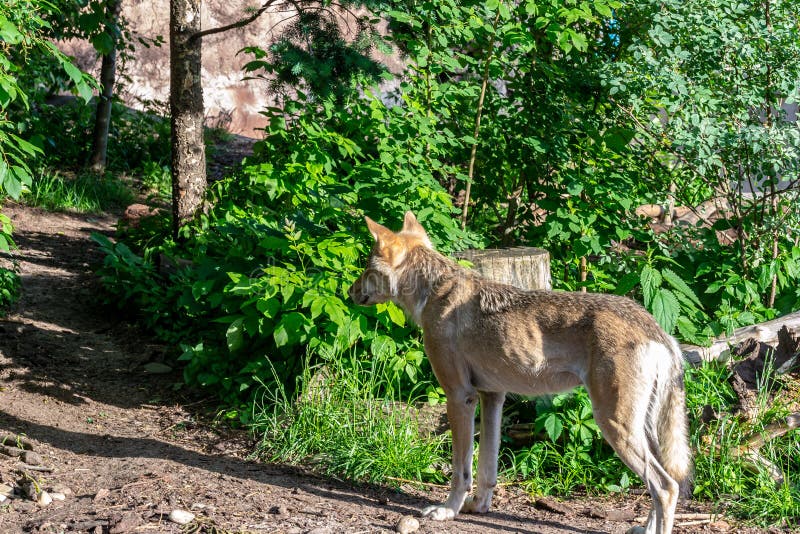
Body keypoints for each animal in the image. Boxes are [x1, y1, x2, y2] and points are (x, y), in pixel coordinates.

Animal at [348, 212, 692, 534]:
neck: (433, 291)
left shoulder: (460, 397)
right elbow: (487, 469)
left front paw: (447, 511)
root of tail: (658, 329)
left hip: (614, 426)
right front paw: (479, 507)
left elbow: (461, 471)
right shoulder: (492, 397)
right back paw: (644, 528)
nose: (350, 291)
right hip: (639, 430)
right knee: (662, 482)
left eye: (365, 269)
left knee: (666, 486)